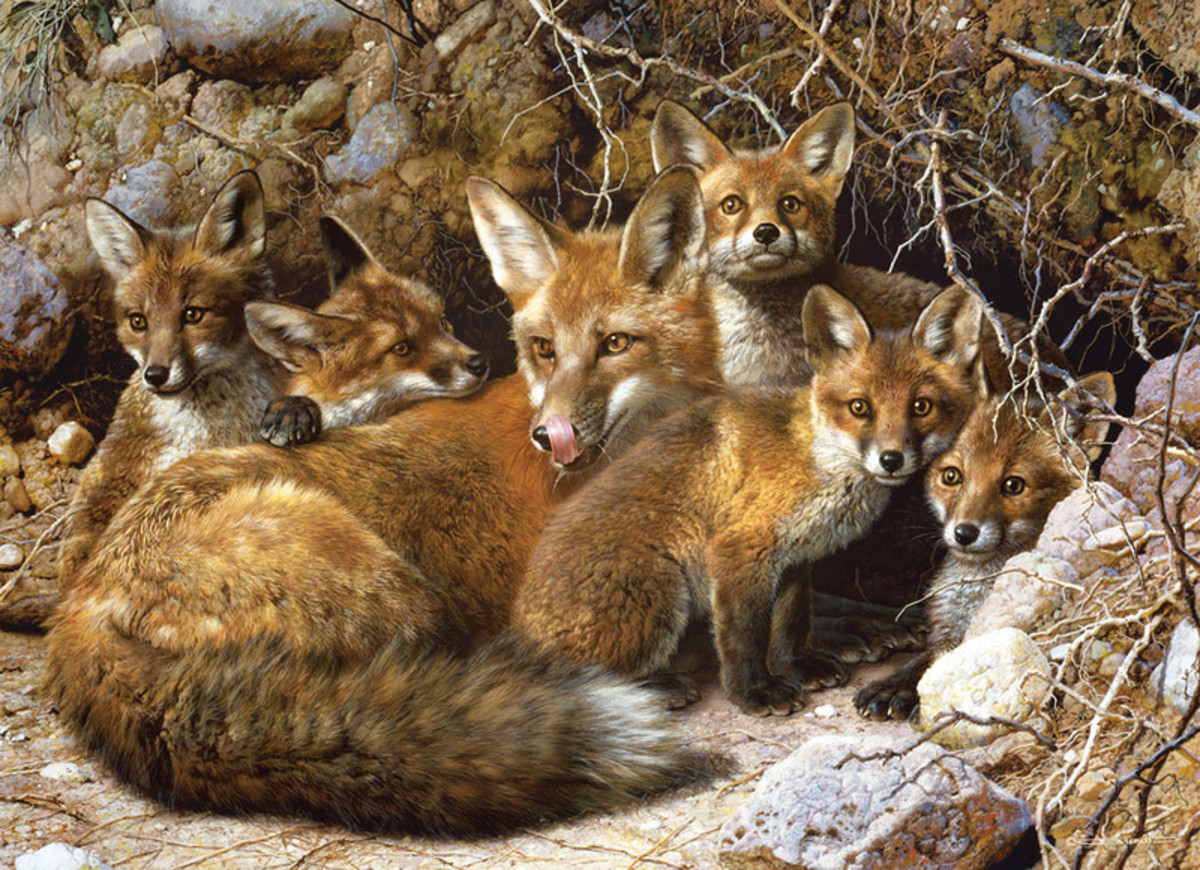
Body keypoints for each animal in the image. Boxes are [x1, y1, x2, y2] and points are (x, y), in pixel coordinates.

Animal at [45, 165, 723, 834]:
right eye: (544, 348)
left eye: (616, 344)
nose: (551, 433)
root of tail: (80, 602)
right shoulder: (552, 612)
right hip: (400, 596)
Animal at [513, 284, 984, 716]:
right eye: (859, 407)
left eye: (921, 407)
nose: (892, 459)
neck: (811, 457)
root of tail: (514, 626)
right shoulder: (740, 549)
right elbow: (745, 635)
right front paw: (754, 692)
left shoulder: (793, 559)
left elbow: (790, 623)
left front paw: (798, 667)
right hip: (661, 591)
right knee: (583, 679)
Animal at [854, 370, 1116, 721]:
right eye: (952, 476)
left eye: (1013, 485)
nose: (964, 533)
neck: (977, 590)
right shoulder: (947, 633)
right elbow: (926, 660)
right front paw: (894, 684)